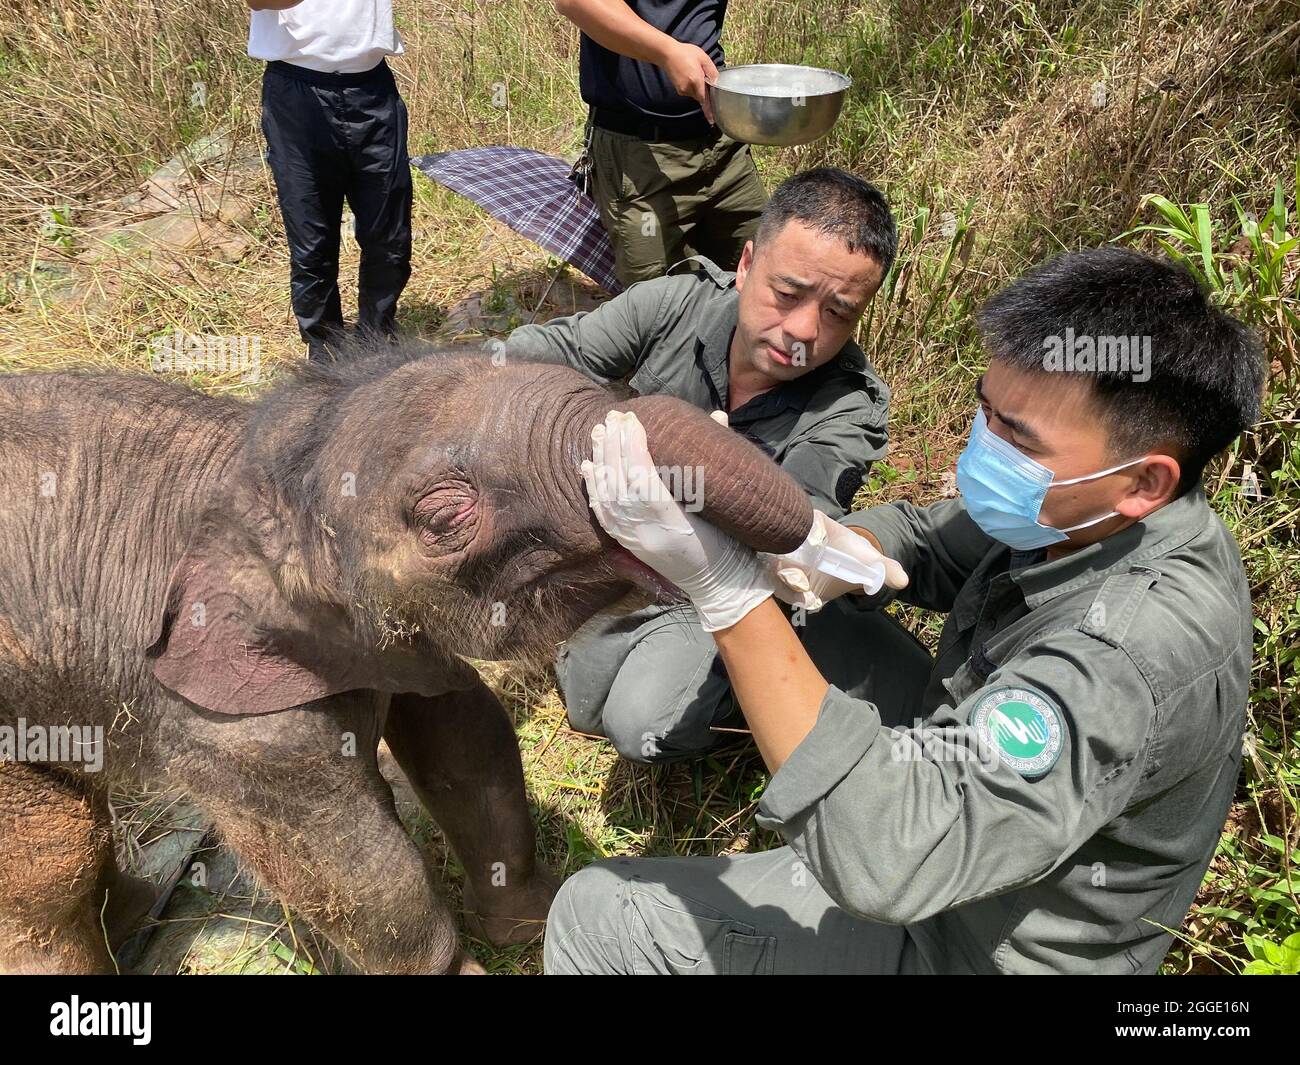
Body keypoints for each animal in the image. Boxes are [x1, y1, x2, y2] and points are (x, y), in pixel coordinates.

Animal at [0, 341, 812, 974]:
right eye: (445, 515)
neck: (242, 475)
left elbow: (466, 734)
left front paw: (539, 917)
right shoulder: (218, 720)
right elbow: (352, 864)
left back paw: (136, 911)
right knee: (52, 854)